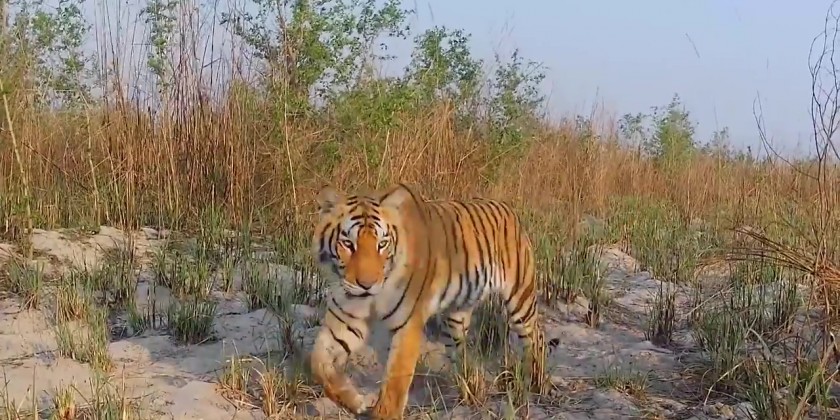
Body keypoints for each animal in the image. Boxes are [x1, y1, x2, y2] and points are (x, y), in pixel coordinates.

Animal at [309, 182, 549, 419]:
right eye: (348, 244)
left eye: (382, 244)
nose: (367, 284)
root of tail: (507, 208)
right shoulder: (343, 324)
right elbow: (318, 364)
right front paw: (355, 401)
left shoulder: (407, 327)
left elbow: (395, 384)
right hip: (456, 321)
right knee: (461, 354)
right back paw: (468, 392)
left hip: (521, 299)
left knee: (536, 337)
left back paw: (537, 384)